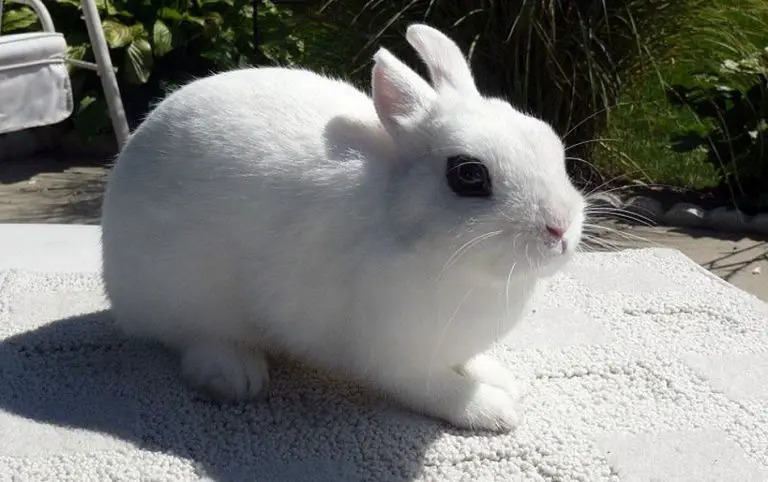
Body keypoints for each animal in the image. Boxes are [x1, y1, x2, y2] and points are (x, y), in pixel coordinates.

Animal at [100, 23, 585, 433]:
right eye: (468, 175)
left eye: (546, 139)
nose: (560, 228)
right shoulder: (396, 356)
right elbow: (437, 389)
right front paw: (495, 410)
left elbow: (469, 364)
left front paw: (499, 377)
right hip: (185, 297)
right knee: (194, 338)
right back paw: (235, 374)